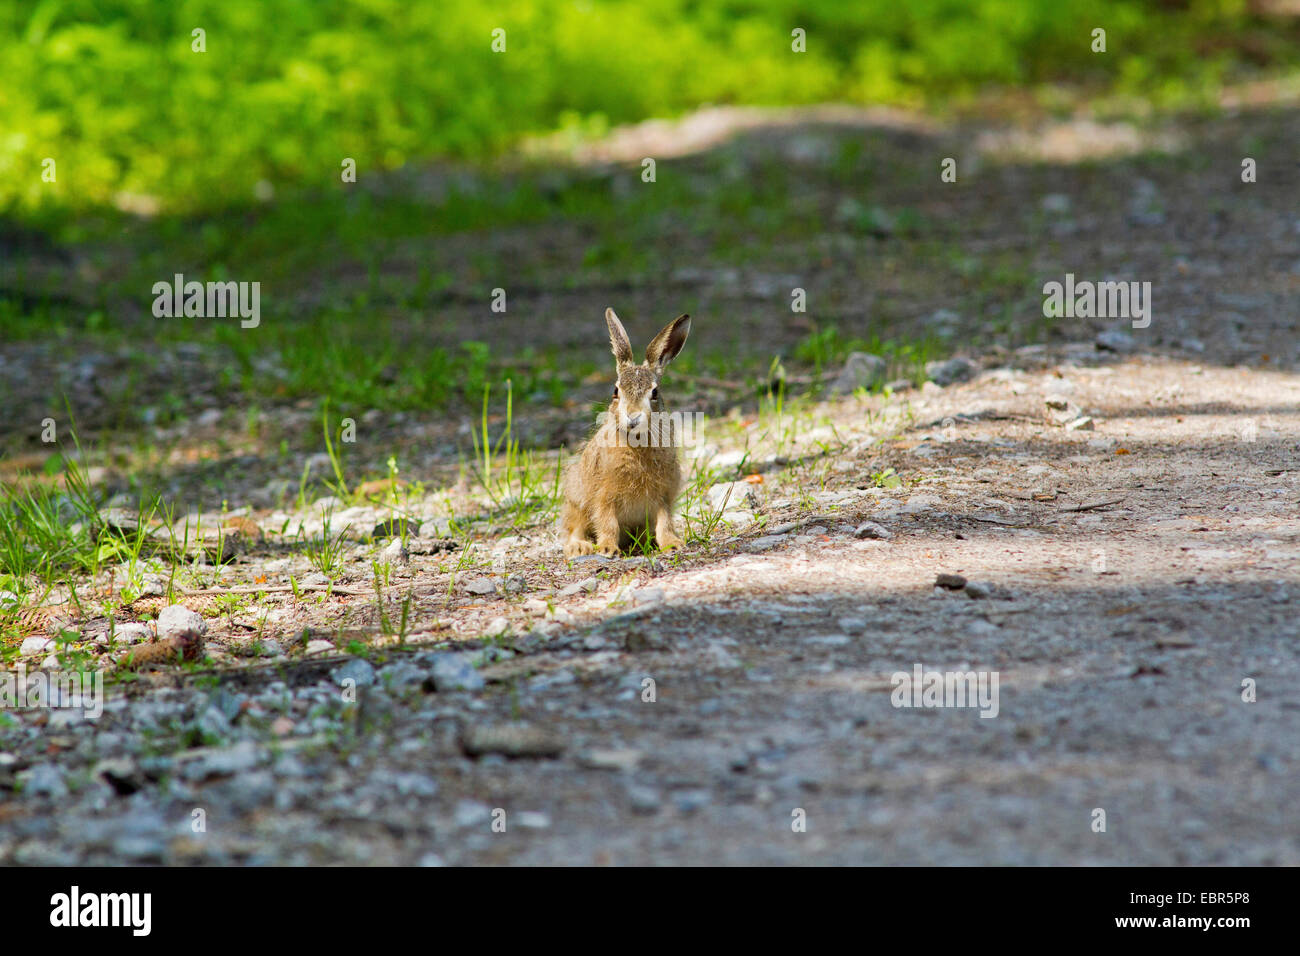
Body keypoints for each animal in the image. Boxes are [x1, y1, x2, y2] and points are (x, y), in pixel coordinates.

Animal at [561, 308, 692, 557]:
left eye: (655, 393)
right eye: (615, 391)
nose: (633, 417)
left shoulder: (663, 496)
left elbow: (665, 522)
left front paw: (672, 544)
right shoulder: (603, 496)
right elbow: (607, 522)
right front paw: (607, 549)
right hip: (576, 498)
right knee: (574, 527)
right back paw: (580, 547)